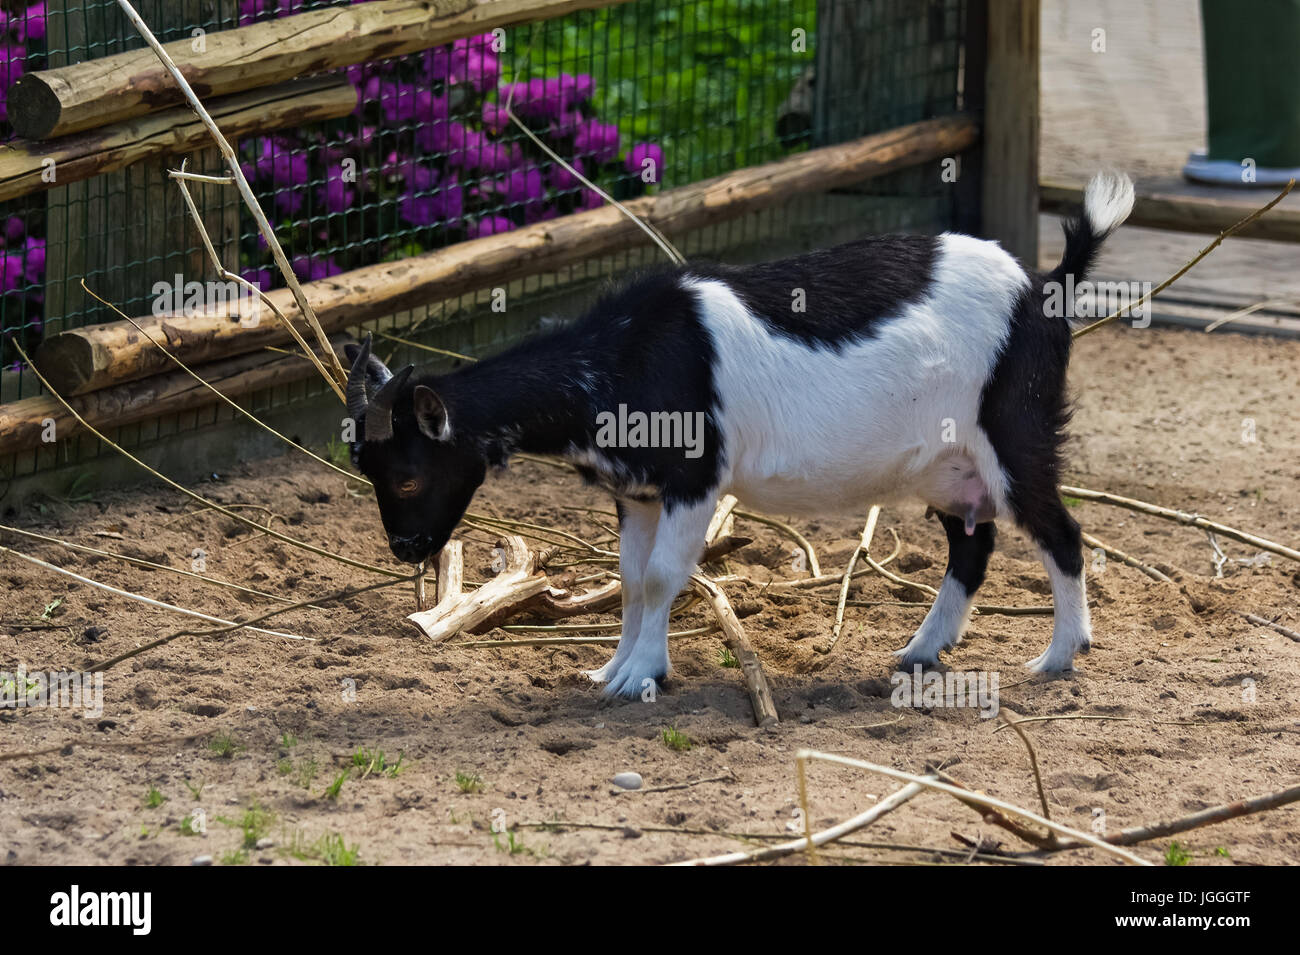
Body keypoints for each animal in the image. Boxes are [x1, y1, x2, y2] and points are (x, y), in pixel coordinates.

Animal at [346, 171, 1135, 699]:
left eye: (410, 474)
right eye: (369, 471)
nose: (405, 548)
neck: (623, 356)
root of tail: (1046, 285)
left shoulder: (695, 477)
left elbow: (664, 574)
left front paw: (640, 676)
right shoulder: (637, 491)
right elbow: (630, 578)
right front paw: (612, 667)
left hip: (1015, 428)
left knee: (1061, 532)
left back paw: (1058, 656)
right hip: (948, 464)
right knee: (972, 544)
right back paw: (918, 653)